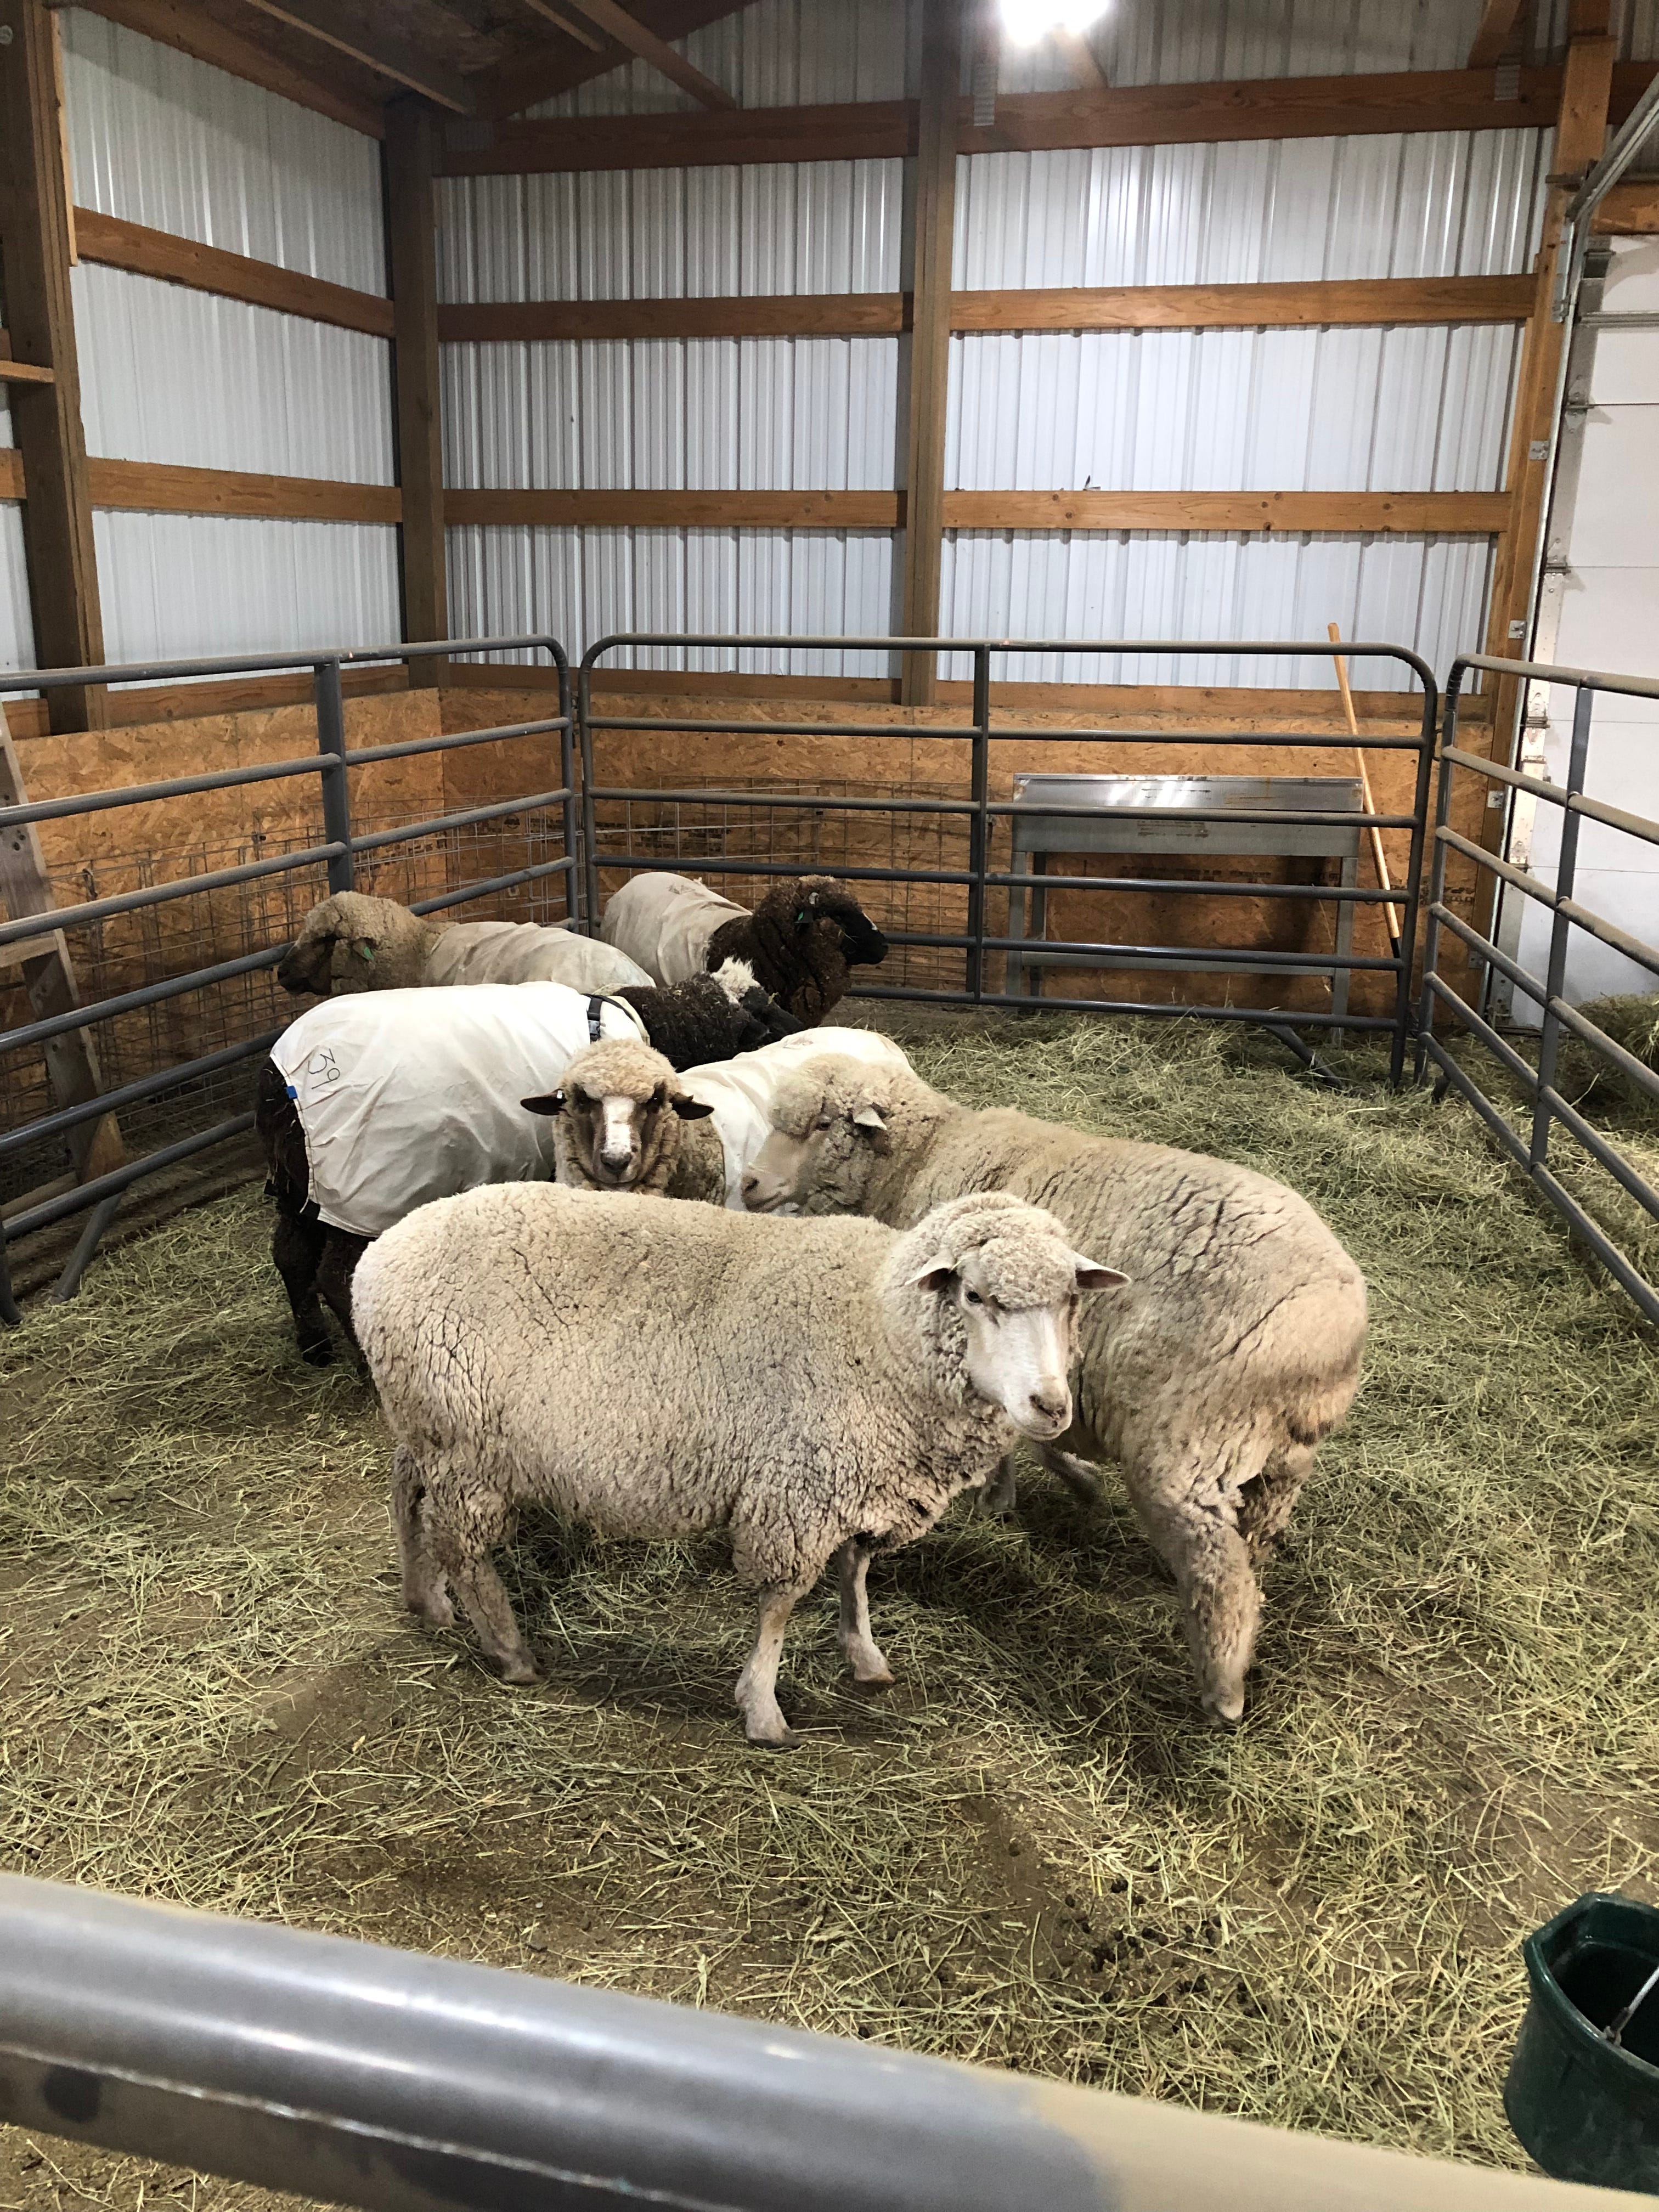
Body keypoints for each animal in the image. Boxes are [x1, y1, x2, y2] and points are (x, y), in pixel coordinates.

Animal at [259, 967, 776, 1362]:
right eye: (762, 1015)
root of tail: (281, 1084)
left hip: (302, 1185)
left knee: (290, 1254)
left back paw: (314, 1347)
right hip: (362, 1187)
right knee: (334, 1277)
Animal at [352, 1182, 1123, 1743]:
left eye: (1071, 1299)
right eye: (975, 1295)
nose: (1051, 1406)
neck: (876, 1323)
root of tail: (380, 1254)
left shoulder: (859, 1481)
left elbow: (856, 1572)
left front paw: (864, 1655)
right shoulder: (799, 1487)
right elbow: (780, 1605)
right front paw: (763, 1709)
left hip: (429, 1428)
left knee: (404, 1491)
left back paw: (426, 1600)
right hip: (466, 1448)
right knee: (462, 1545)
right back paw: (509, 1651)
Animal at [739, 1053, 1368, 1729]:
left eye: (823, 1124)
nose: (748, 1184)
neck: (920, 1155)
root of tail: (1335, 1327)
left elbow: (1037, 1437)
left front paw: (1047, 1487)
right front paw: (1027, 1491)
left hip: (1191, 1444)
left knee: (1215, 1568)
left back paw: (1223, 1693)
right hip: (1281, 1460)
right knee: (1254, 1550)